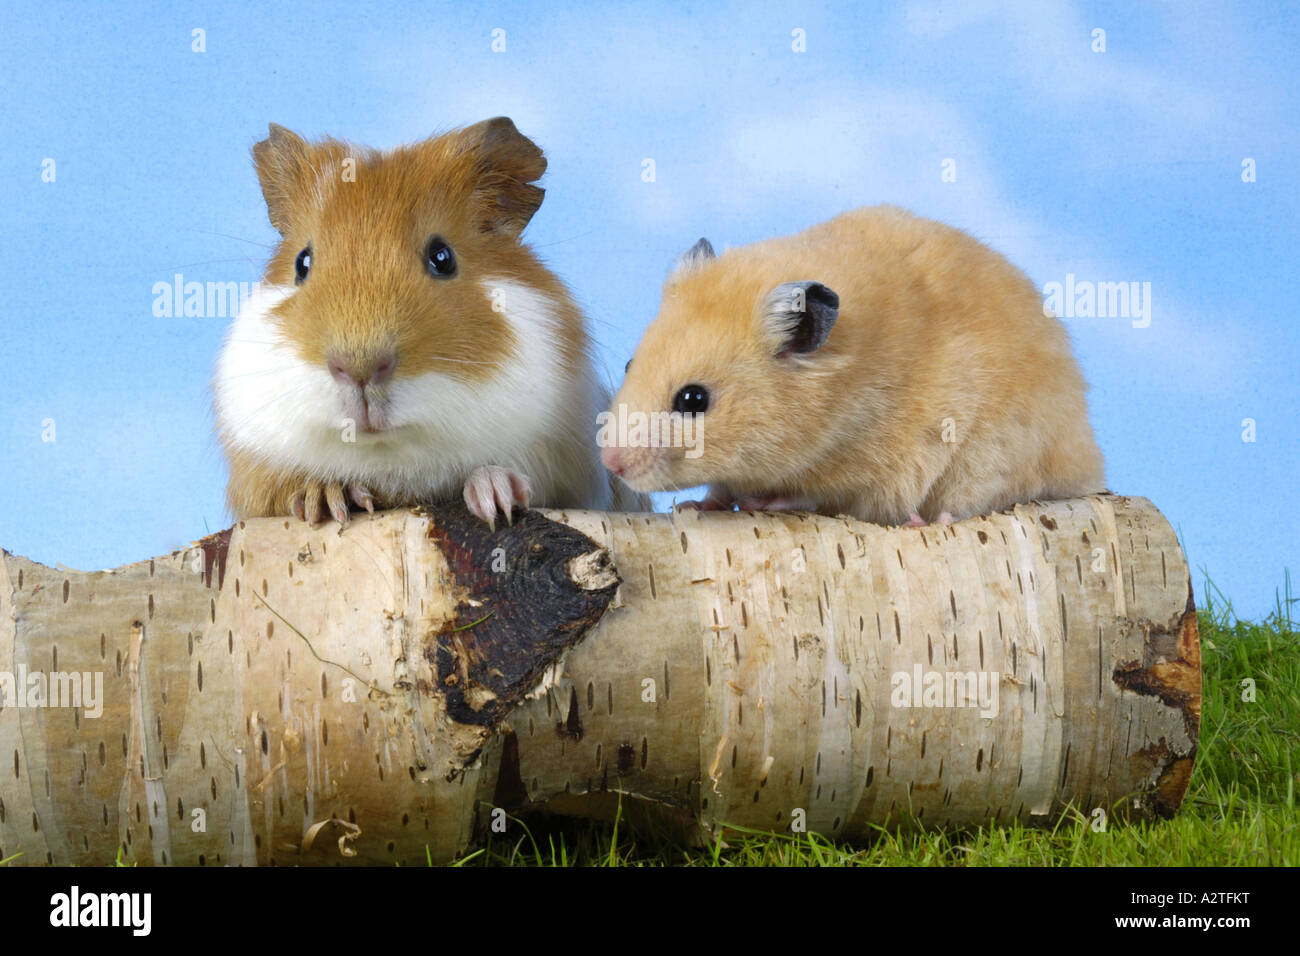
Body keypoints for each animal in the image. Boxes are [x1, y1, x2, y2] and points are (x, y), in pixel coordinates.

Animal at [601, 205, 1105, 526]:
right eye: (628, 364)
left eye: (693, 399)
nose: (610, 462)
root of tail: (1087, 458)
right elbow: (719, 488)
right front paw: (696, 507)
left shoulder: (869, 467)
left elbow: (815, 493)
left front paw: (765, 504)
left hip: (999, 454)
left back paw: (927, 523)